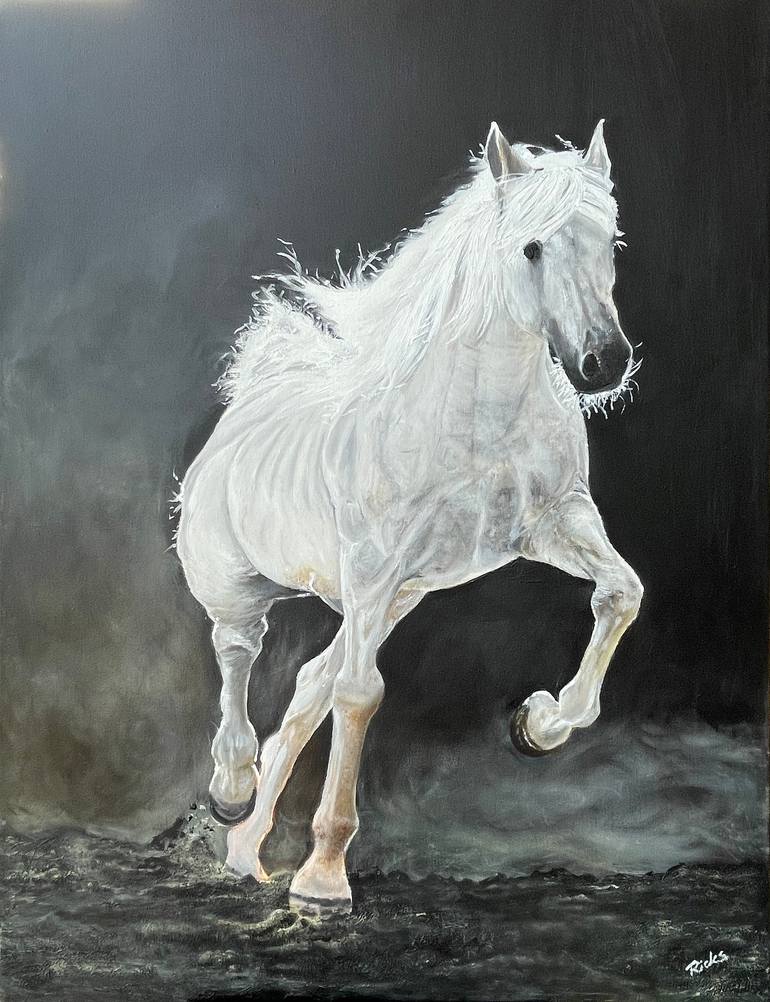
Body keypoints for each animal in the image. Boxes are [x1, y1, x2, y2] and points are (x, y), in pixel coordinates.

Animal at [175, 120, 644, 913]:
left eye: (609, 241)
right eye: (531, 247)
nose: (602, 363)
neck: (479, 422)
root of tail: (252, 399)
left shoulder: (552, 524)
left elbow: (621, 593)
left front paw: (538, 725)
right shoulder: (373, 562)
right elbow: (362, 696)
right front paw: (324, 880)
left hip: (399, 597)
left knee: (307, 688)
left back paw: (246, 852)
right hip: (249, 585)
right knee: (240, 658)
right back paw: (232, 793)